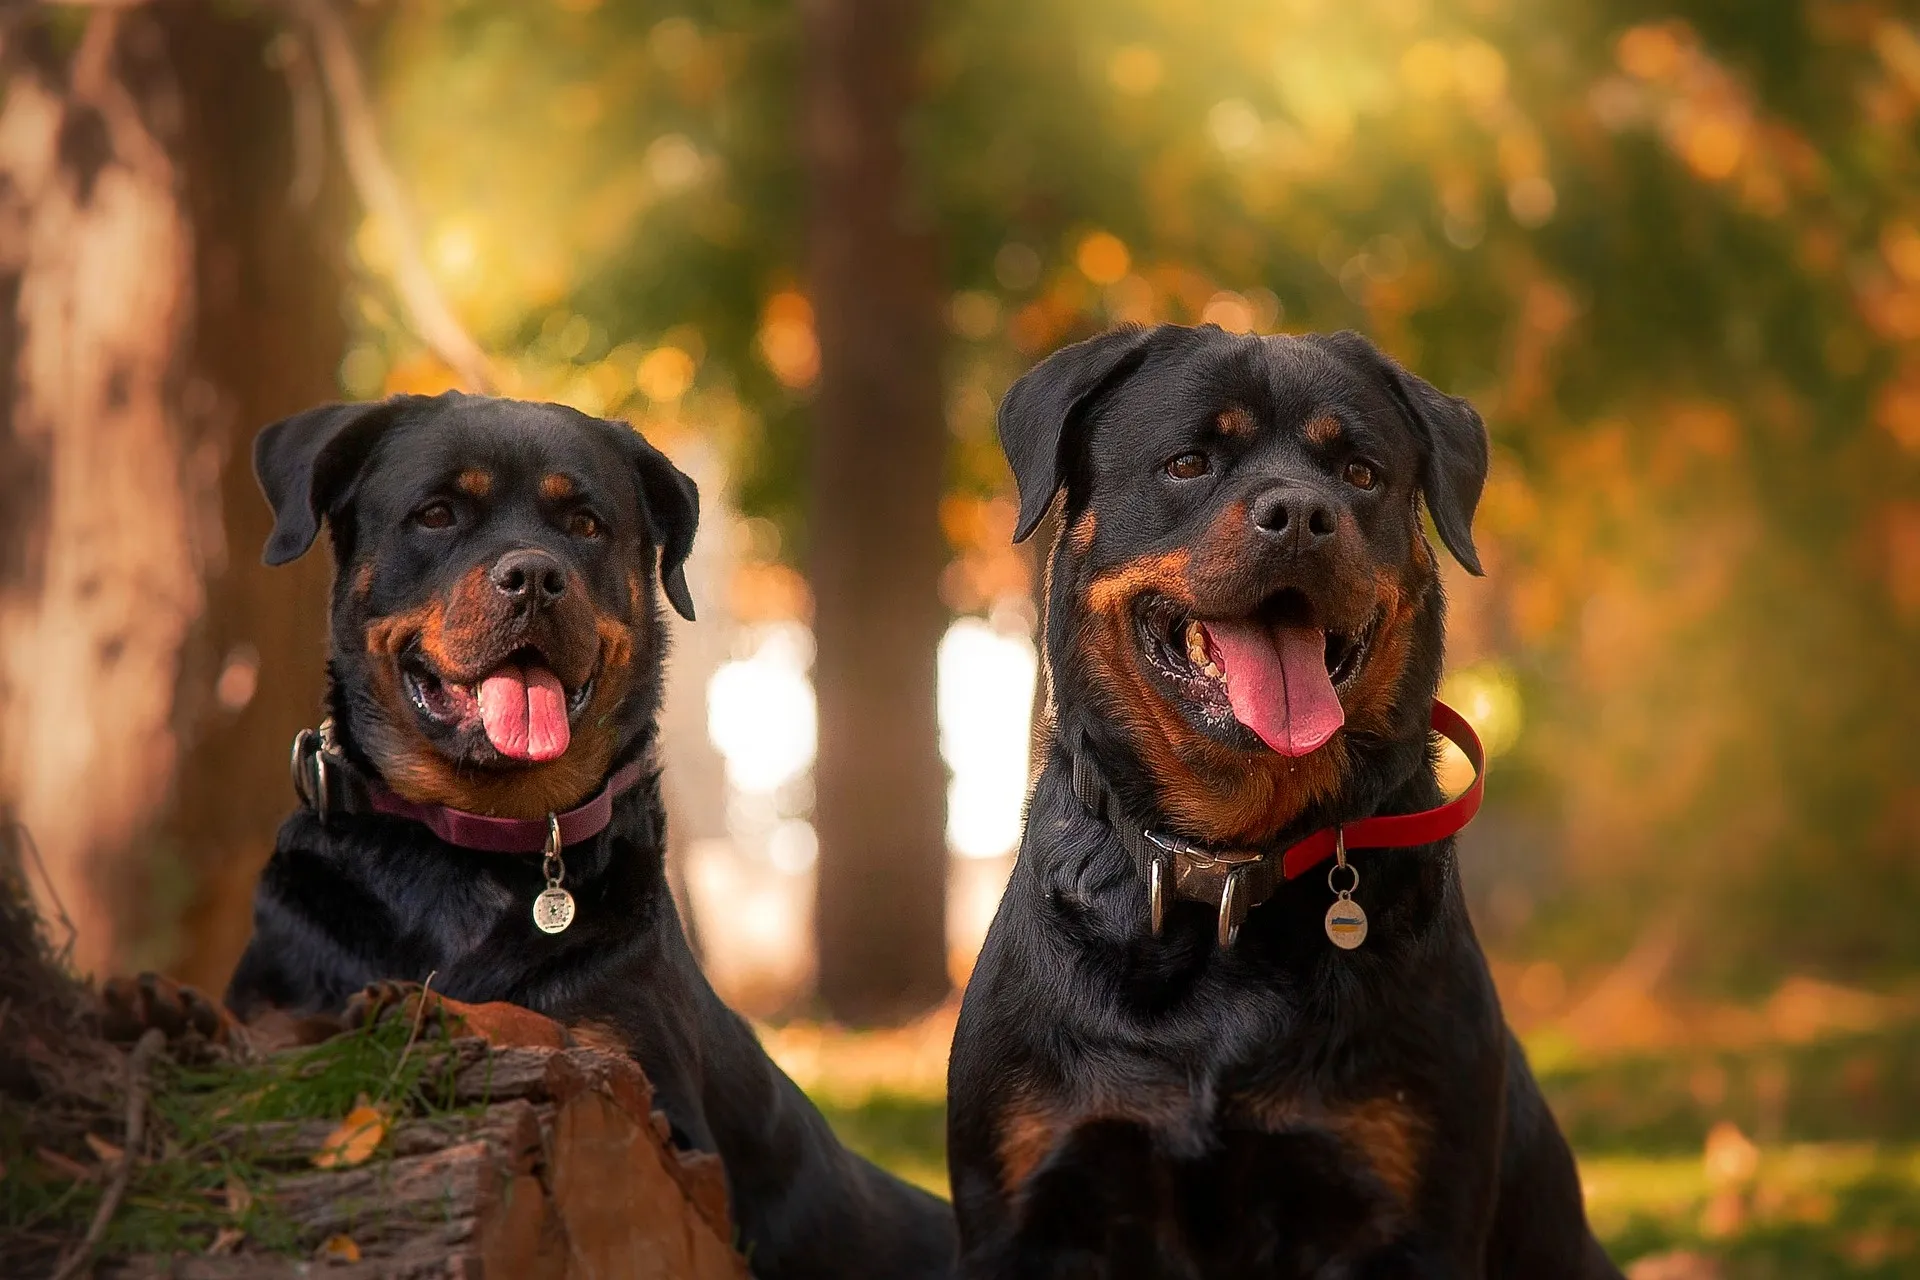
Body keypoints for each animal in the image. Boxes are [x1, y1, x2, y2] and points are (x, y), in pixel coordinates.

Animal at [220, 391, 956, 1280]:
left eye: (586, 524)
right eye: (436, 514)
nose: (535, 576)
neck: (471, 842)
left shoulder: (664, 1116)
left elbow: (541, 1027)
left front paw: (434, 1008)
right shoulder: (274, 1012)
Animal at [944, 330, 1620, 1280]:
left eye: (1361, 474)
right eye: (1188, 462)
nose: (1300, 513)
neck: (1229, 866)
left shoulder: (1404, 1217)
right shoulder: (1027, 1212)